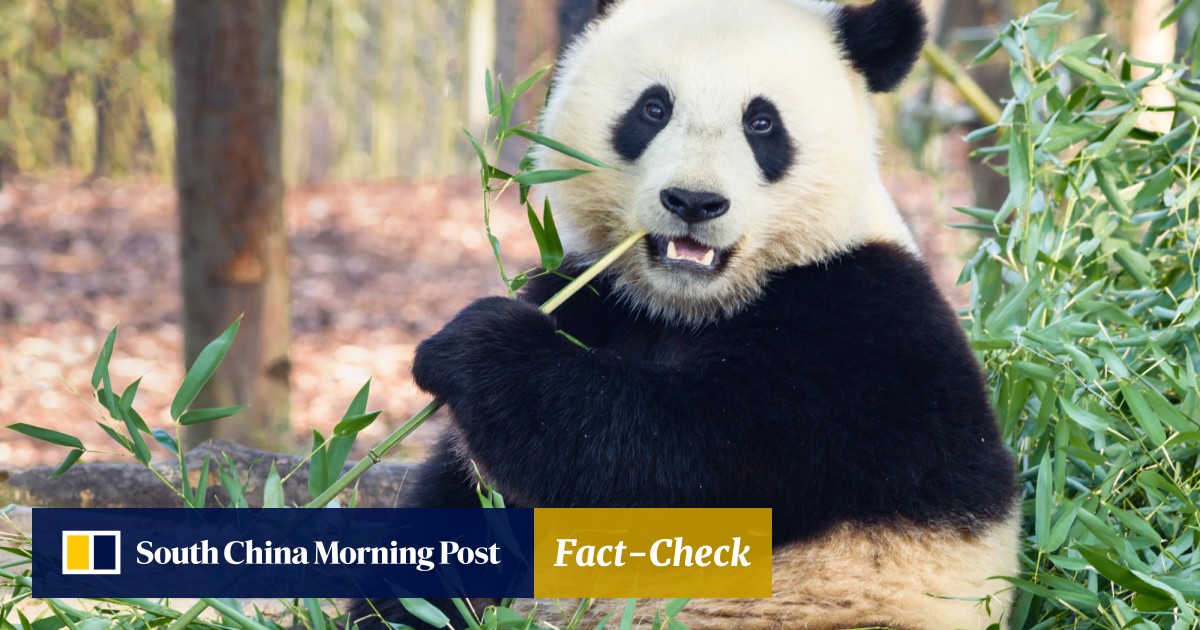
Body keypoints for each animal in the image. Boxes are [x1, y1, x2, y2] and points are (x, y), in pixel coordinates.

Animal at [352, 0, 1019, 628]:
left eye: (762, 122)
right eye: (653, 108)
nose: (694, 202)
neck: (685, 305)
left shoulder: (861, 335)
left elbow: (675, 457)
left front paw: (475, 346)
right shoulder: (595, 296)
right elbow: (455, 516)